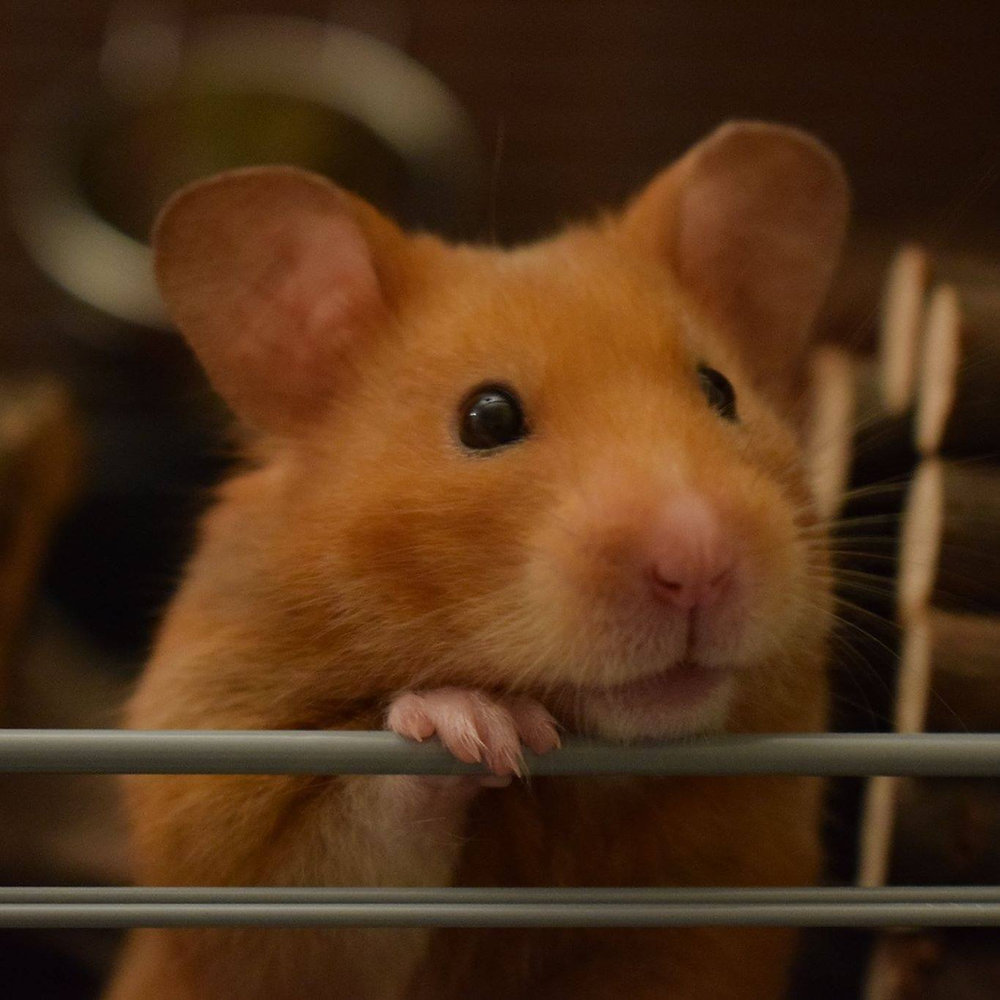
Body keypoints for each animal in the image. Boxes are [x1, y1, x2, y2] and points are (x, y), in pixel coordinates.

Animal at [105, 121, 848, 1000]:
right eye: (487, 417)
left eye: (721, 390)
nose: (697, 562)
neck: (580, 792)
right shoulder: (235, 860)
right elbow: (346, 864)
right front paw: (482, 723)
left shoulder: (713, 911)